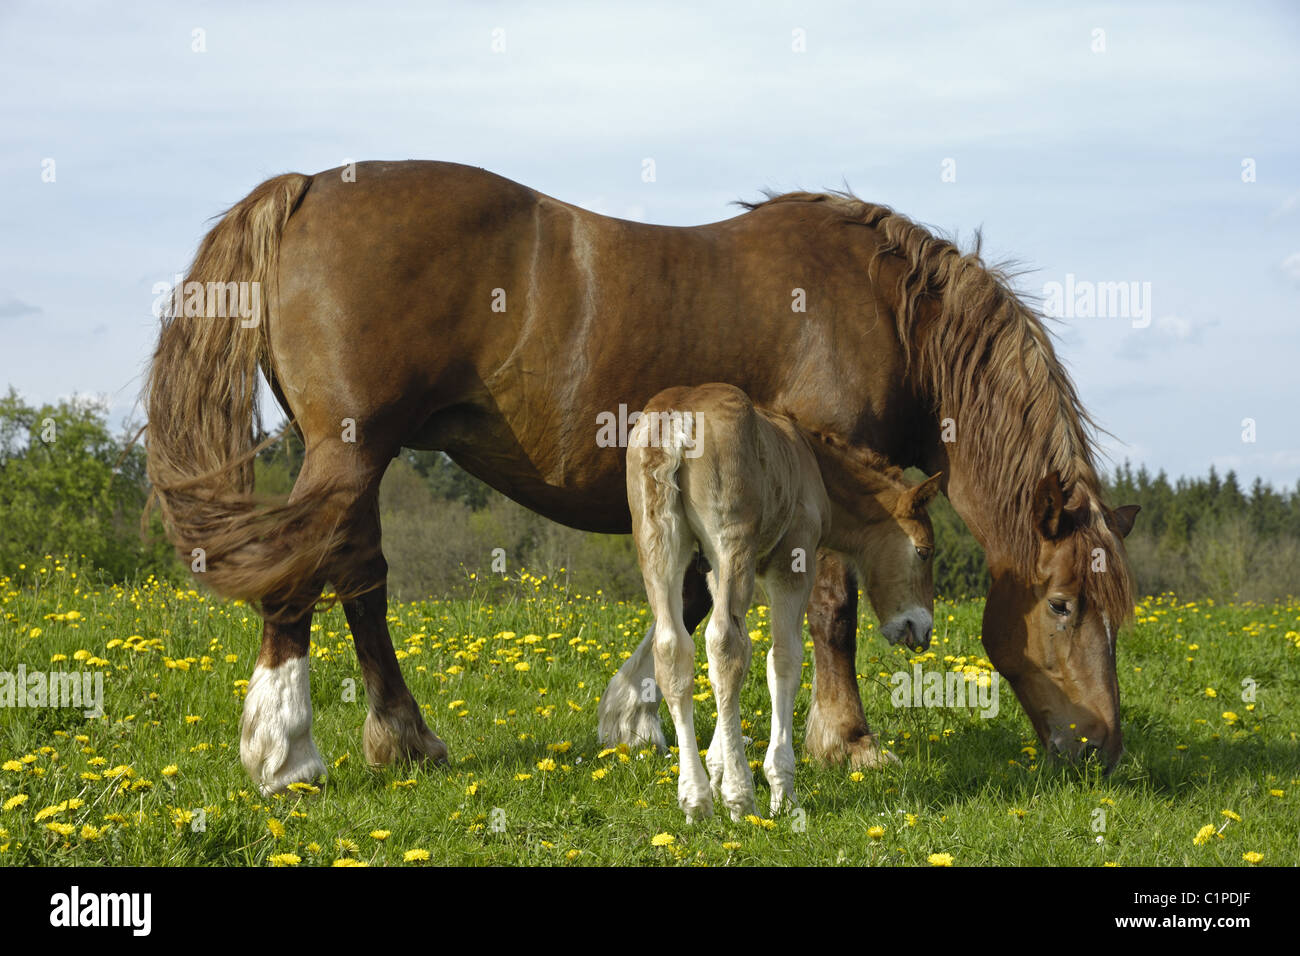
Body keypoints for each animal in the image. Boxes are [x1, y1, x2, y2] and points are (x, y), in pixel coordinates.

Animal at [625, 383, 940, 821]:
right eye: (924, 552)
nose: (922, 629)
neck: (811, 461)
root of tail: (677, 417)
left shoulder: (710, 570)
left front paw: (717, 768)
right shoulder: (793, 560)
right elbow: (785, 659)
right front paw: (781, 790)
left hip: (657, 543)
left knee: (672, 648)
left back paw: (696, 799)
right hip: (732, 541)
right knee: (726, 643)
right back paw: (740, 796)